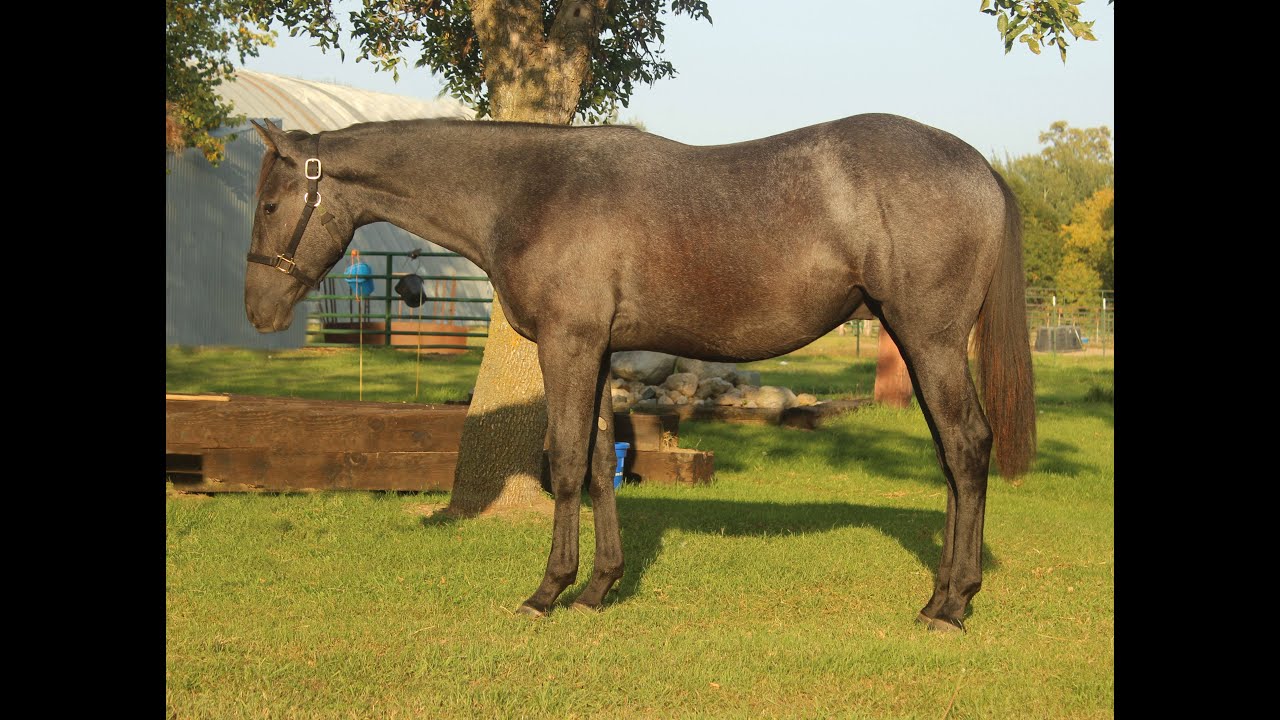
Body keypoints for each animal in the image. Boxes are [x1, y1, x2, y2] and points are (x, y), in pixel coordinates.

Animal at [243, 113, 1036, 632]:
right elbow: (599, 464)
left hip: (930, 340)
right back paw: (944, 595)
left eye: (272, 202)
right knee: (954, 458)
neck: (529, 190)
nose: (257, 309)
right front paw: (598, 588)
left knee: (968, 449)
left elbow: (564, 463)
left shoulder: (566, 344)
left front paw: (547, 592)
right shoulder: (594, 352)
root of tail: (979, 167)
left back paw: (951, 606)